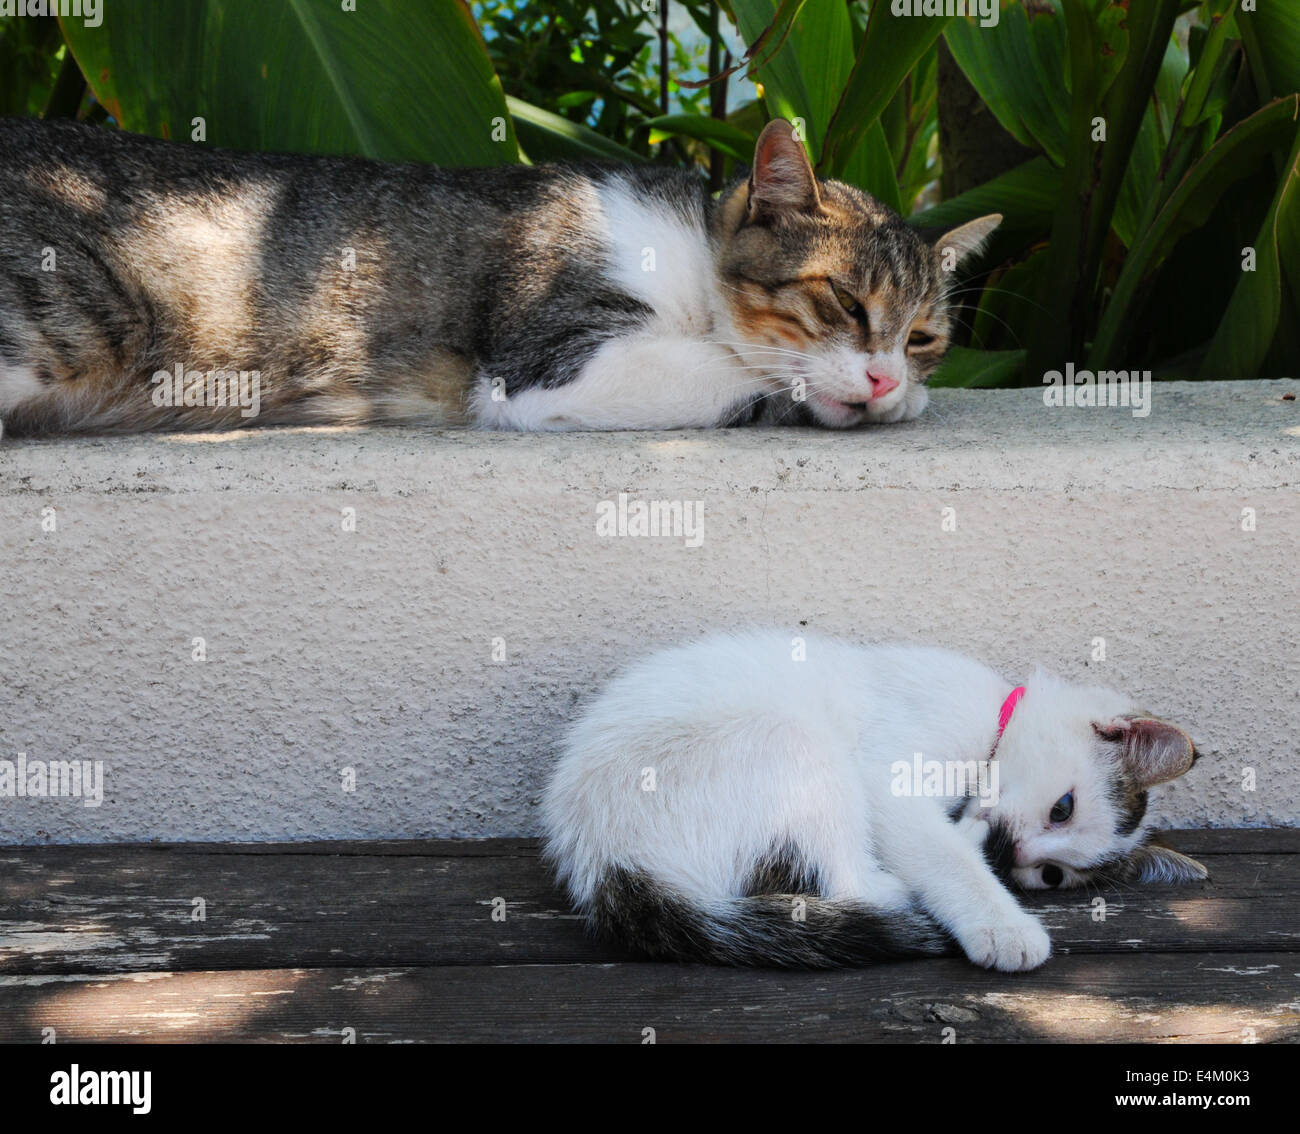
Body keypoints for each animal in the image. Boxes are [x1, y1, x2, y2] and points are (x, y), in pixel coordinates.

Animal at [0, 115, 1003, 434]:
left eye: (923, 335)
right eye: (843, 299)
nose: (886, 375)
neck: (684, 254)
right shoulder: (551, 358)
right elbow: (739, 370)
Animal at [540, 629, 1206, 967]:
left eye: (1049, 876)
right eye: (1062, 807)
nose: (1007, 852)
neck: (994, 720)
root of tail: (600, 861)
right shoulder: (891, 775)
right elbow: (942, 856)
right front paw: (1002, 924)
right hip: (796, 745)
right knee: (845, 879)